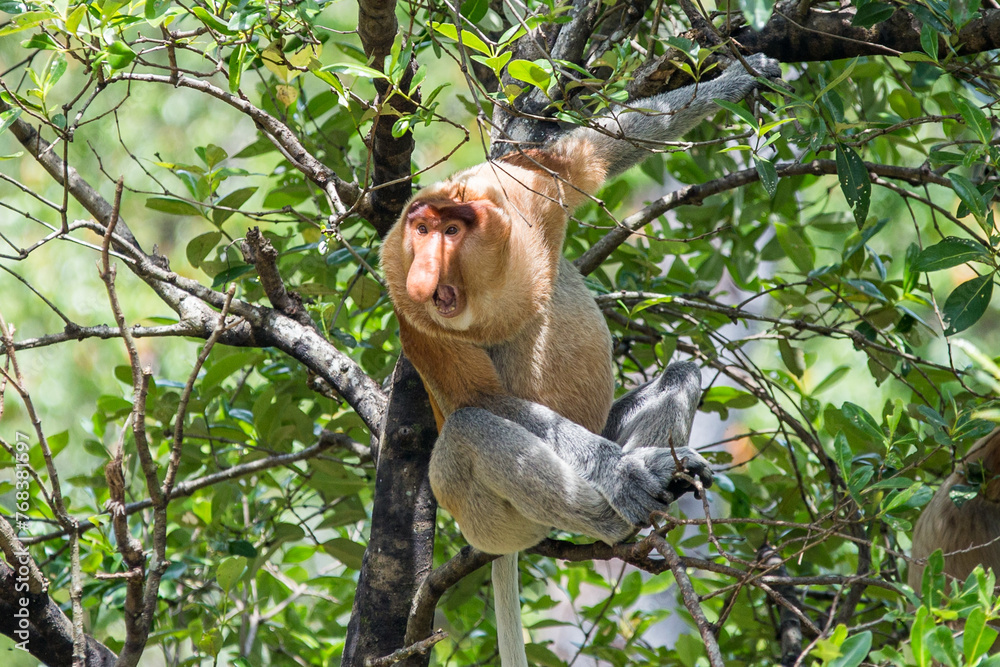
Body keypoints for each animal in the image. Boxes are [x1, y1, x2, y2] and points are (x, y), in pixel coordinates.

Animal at [380, 53, 782, 666]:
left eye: (449, 230)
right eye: (419, 231)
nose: (424, 274)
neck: (490, 281)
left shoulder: (519, 188)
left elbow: (592, 154)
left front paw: (745, 76)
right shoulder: (412, 312)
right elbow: (483, 398)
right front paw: (623, 476)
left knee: (681, 371)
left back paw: (660, 488)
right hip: (489, 520)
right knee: (470, 428)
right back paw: (620, 508)